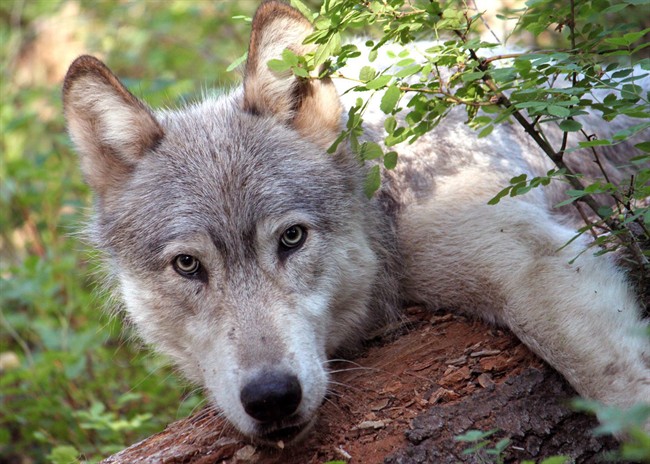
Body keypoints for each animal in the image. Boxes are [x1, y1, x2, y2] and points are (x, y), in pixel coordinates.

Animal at [63, 0, 649, 446]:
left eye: (292, 238)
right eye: (188, 265)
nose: (271, 398)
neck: (388, 193)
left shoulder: (528, 260)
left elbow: (620, 389)